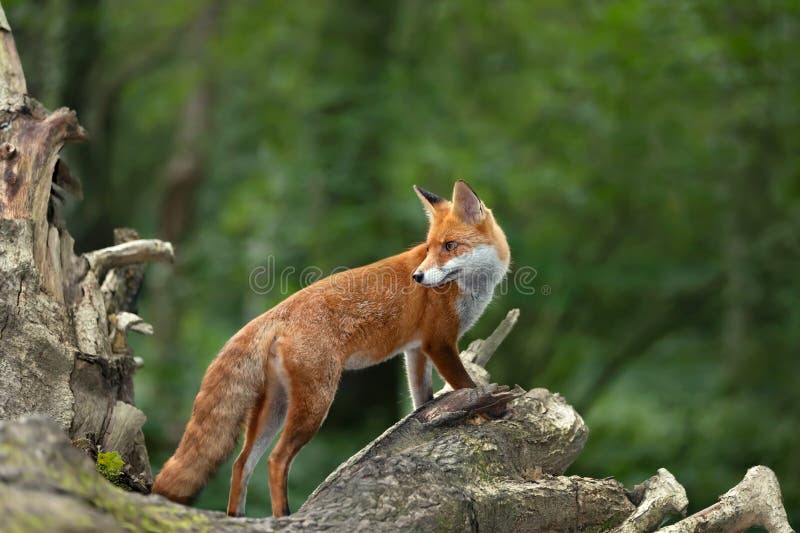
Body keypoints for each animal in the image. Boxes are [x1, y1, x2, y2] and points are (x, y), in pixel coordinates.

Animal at [151, 180, 510, 517]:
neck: (471, 288)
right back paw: (283, 516)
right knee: (276, 460)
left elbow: (422, 399)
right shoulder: (439, 343)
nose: (418, 277)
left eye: (449, 246)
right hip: (315, 404)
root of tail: (278, 311)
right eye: (430, 248)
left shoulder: (416, 350)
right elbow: (466, 385)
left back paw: (238, 517)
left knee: (242, 463)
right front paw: (490, 410)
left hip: (274, 408)